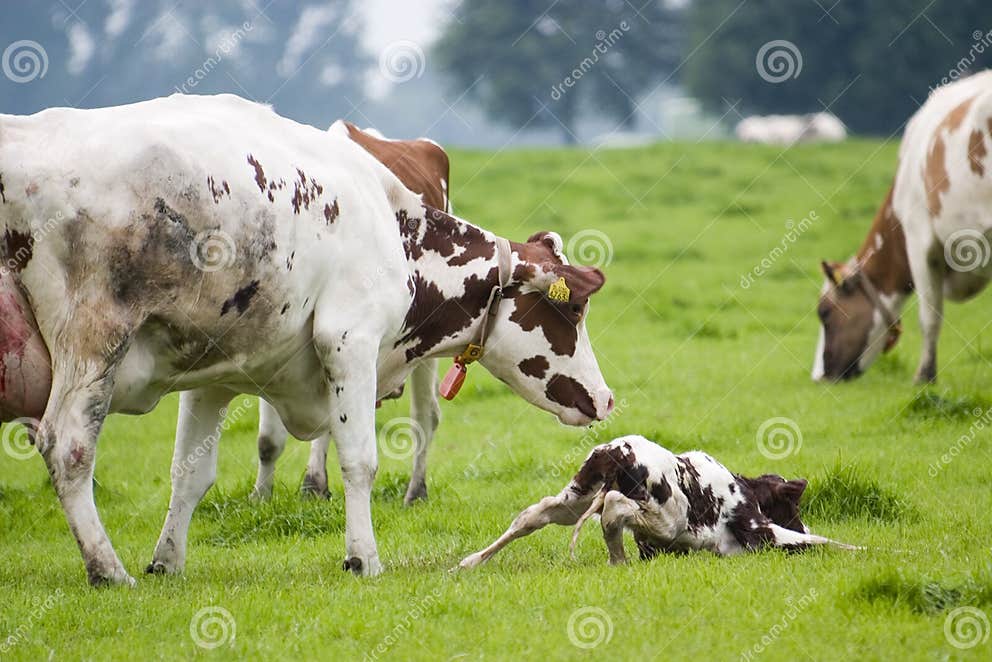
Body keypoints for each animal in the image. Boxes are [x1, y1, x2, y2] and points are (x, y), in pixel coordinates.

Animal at [458, 435, 855, 569]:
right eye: (794, 507)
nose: (801, 521)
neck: (744, 490)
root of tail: (617, 451)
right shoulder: (762, 532)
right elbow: (822, 542)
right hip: (668, 518)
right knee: (613, 508)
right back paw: (618, 560)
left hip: (576, 497)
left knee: (533, 515)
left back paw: (470, 562)